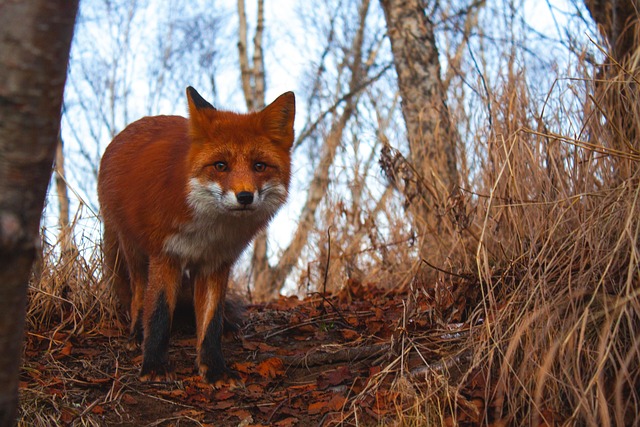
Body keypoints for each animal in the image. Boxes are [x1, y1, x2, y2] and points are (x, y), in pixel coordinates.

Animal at [97, 87, 295, 383]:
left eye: (259, 166)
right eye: (220, 166)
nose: (245, 197)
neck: (208, 230)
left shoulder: (216, 262)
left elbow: (211, 320)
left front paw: (213, 369)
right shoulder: (165, 254)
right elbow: (158, 313)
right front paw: (154, 366)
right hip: (133, 250)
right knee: (139, 294)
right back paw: (136, 334)